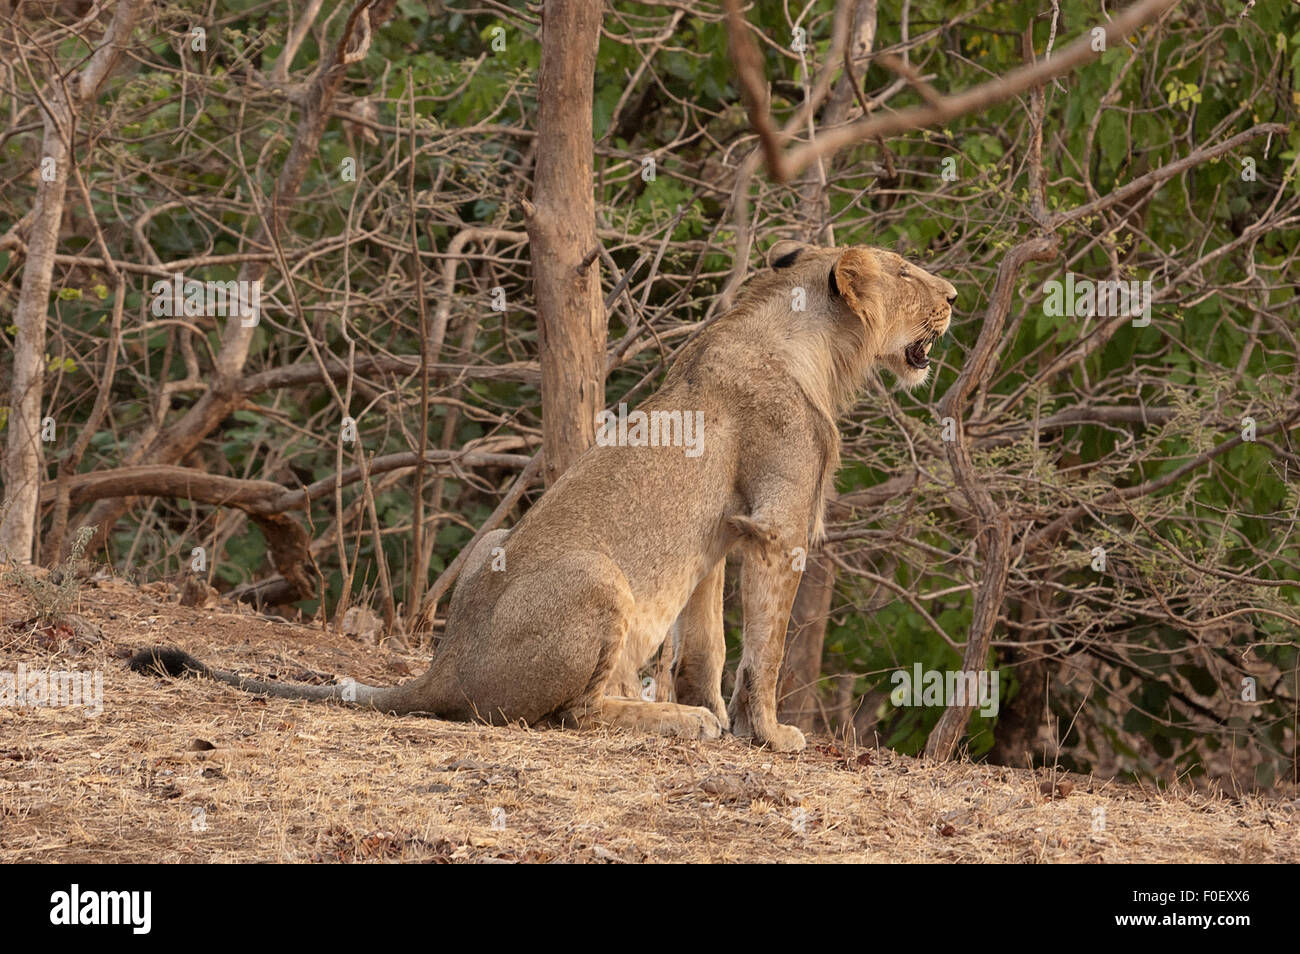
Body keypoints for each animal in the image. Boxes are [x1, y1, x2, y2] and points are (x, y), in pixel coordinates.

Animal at [131, 241, 956, 753]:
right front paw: (767, 733)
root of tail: (443, 666)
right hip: (596, 578)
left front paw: (722, 714)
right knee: (573, 714)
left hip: (493, 545)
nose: (954, 293)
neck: (812, 345)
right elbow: (766, 650)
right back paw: (673, 721)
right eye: (907, 272)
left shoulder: (721, 532)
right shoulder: (778, 529)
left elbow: (709, 647)